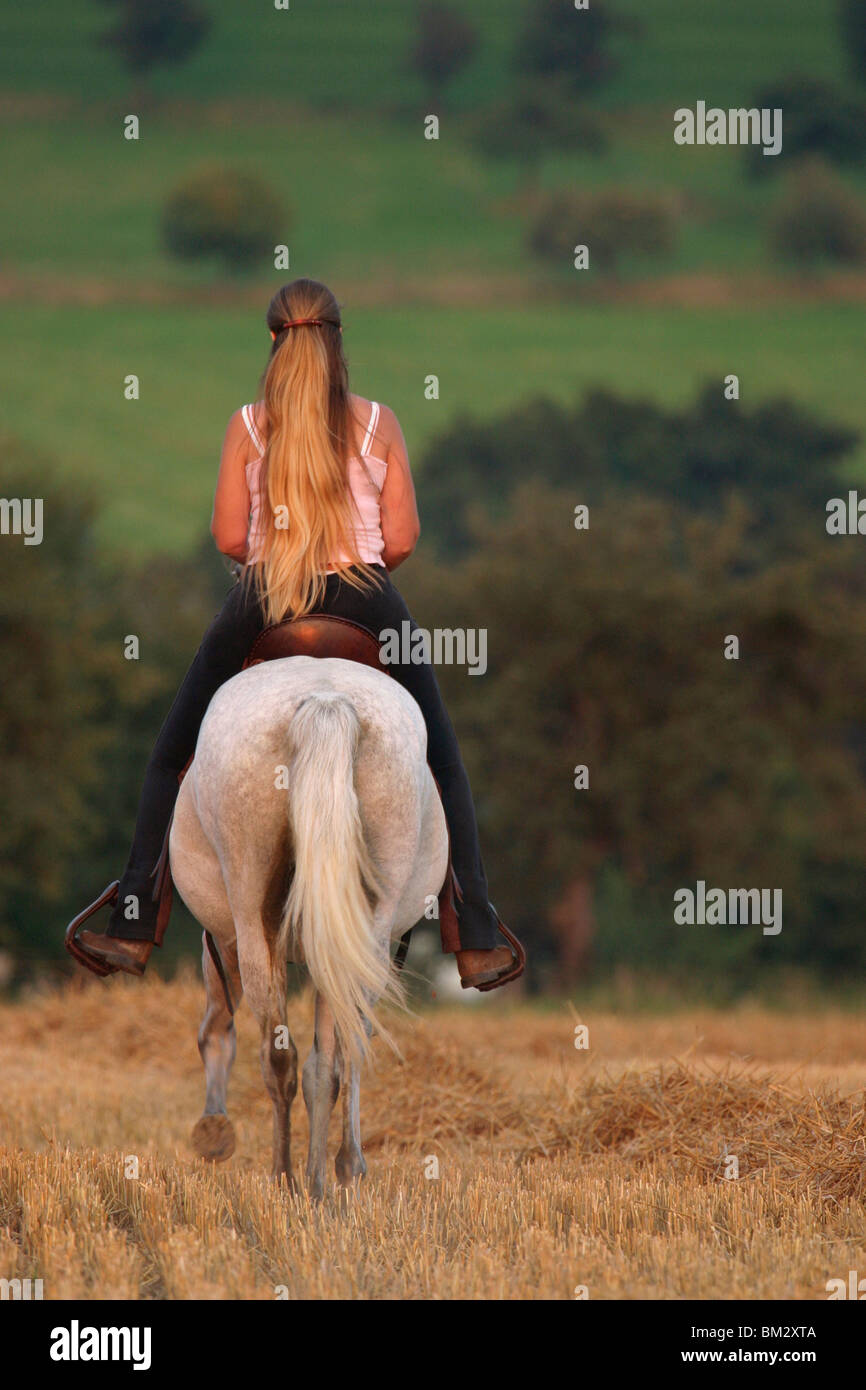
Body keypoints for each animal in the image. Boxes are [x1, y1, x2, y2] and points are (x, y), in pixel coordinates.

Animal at [168, 654, 449, 1198]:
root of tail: (325, 699)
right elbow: (327, 1063)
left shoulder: (225, 941)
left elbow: (225, 1031)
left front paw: (217, 1130)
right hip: (365, 929)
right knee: (342, 1053)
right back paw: (339, 1173)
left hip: (252, 922)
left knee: (279, 1060)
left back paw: (286, 1177)